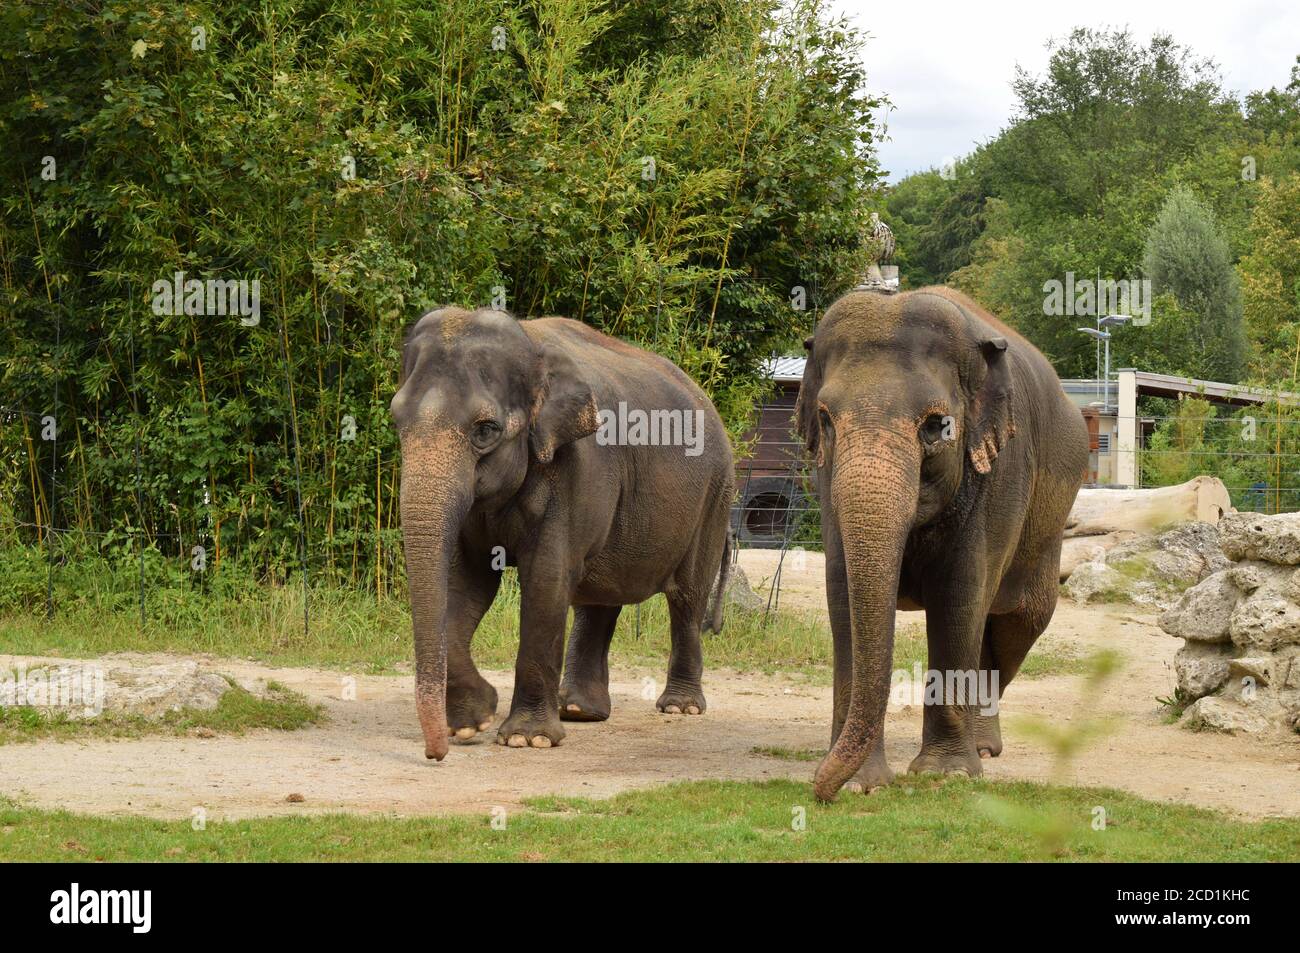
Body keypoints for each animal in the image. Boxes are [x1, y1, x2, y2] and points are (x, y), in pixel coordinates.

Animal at [390, 306, 735, 760]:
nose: (436, 753)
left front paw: (526, 738)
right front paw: (471, 722)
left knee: (687, 597)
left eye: (486, 430)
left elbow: (547, 579)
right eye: (396, 421)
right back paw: (578, 710)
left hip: (715, 497)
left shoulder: (578, 469)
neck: (531, 345)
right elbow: (467, 582)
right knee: (599, 596)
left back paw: (680, 707)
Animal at [793, 287, 1087, 801]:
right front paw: (863, 783)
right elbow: (842, 593)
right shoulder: (828, 484)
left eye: (936, 426)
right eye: (826, 421)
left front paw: (944, 774)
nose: (822, 792)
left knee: (1019, 621)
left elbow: (958, 596)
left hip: (1050, 521)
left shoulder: (996, 475)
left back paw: (984, 749)